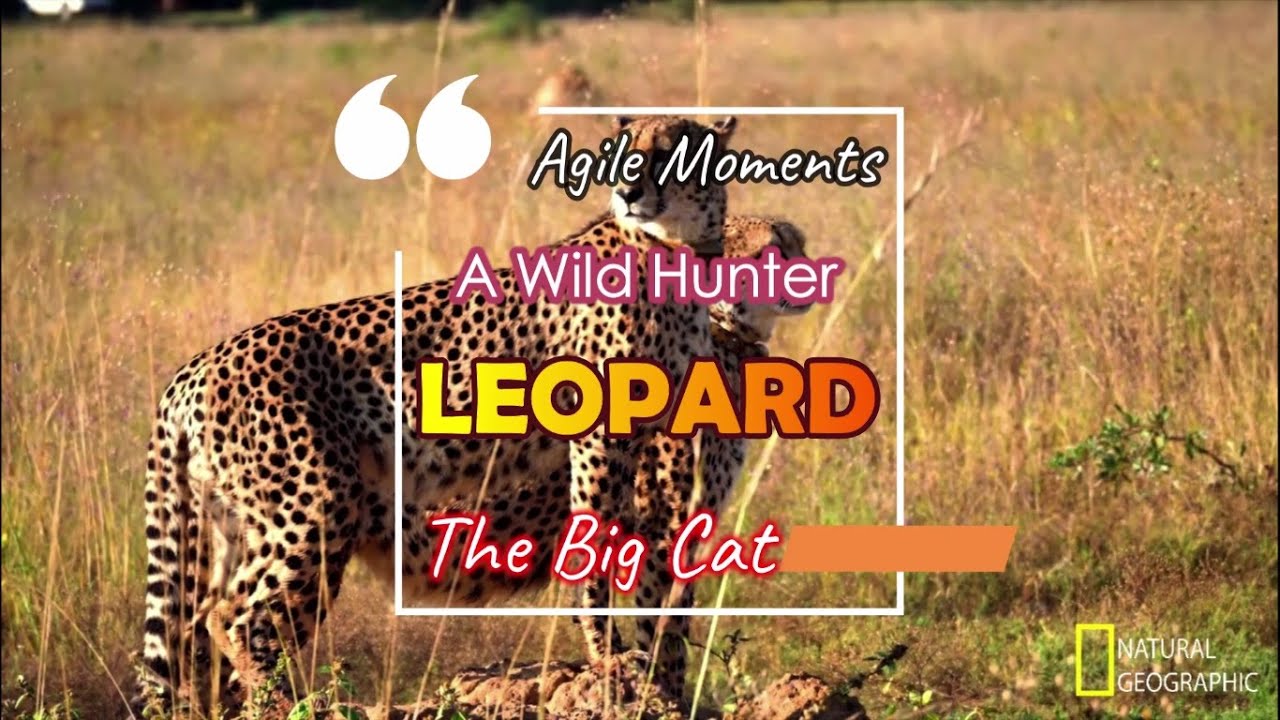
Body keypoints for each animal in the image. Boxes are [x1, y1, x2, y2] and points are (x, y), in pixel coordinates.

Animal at [133, 114, 738, 715]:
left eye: (667, 152)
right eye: (622, 153)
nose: (628, 192)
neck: (674, 247)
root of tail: (197, 364)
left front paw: (657, 680)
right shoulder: (599, 437)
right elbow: (598, 549)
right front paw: (612, 662)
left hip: (240, 521)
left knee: (196, 627)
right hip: (315, 505)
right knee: (234, 617)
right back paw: (291, 703)